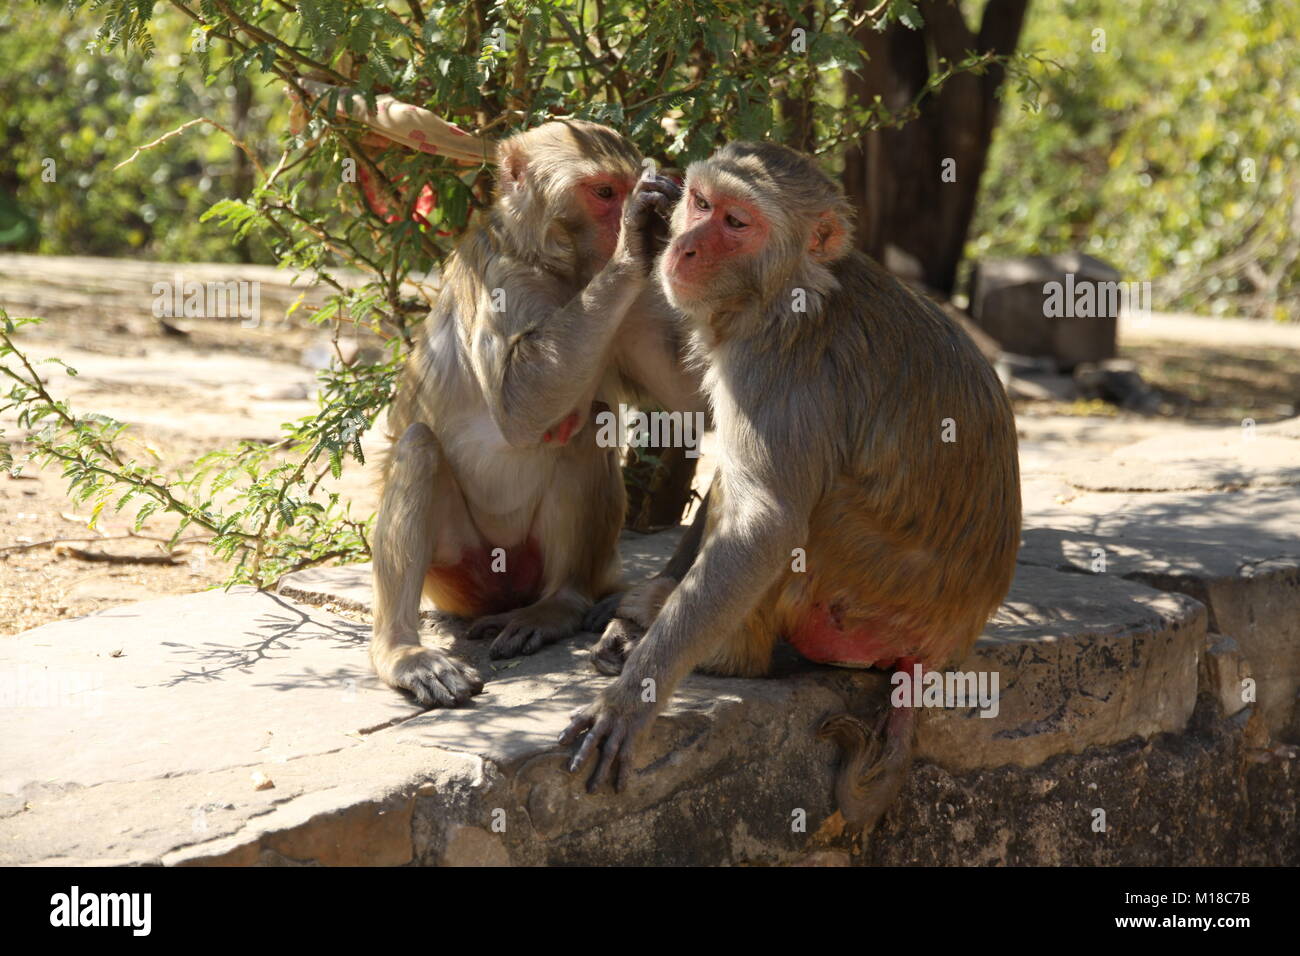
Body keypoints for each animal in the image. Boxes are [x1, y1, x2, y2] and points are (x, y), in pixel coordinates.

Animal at [370, 120, 705, 708]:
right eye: (604, 193)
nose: (638, 214)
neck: (556, 264)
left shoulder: (636, 303)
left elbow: (702, 403)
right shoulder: (504, 280)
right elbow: (517, 408)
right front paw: (636, 240)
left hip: (563, 562)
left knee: (587, 426)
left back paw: (561, 605)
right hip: (458, 572)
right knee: (420, 445)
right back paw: (404, 652)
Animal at [561, 141, 1021, 833]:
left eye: (736, 223)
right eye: (702, 204)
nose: (684, 246)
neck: (785, 289)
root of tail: (941, 648)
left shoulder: (773, 363)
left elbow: (768, 523)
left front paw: (632, 698)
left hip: (859, 590)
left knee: (799, 520)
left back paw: (732, 656)